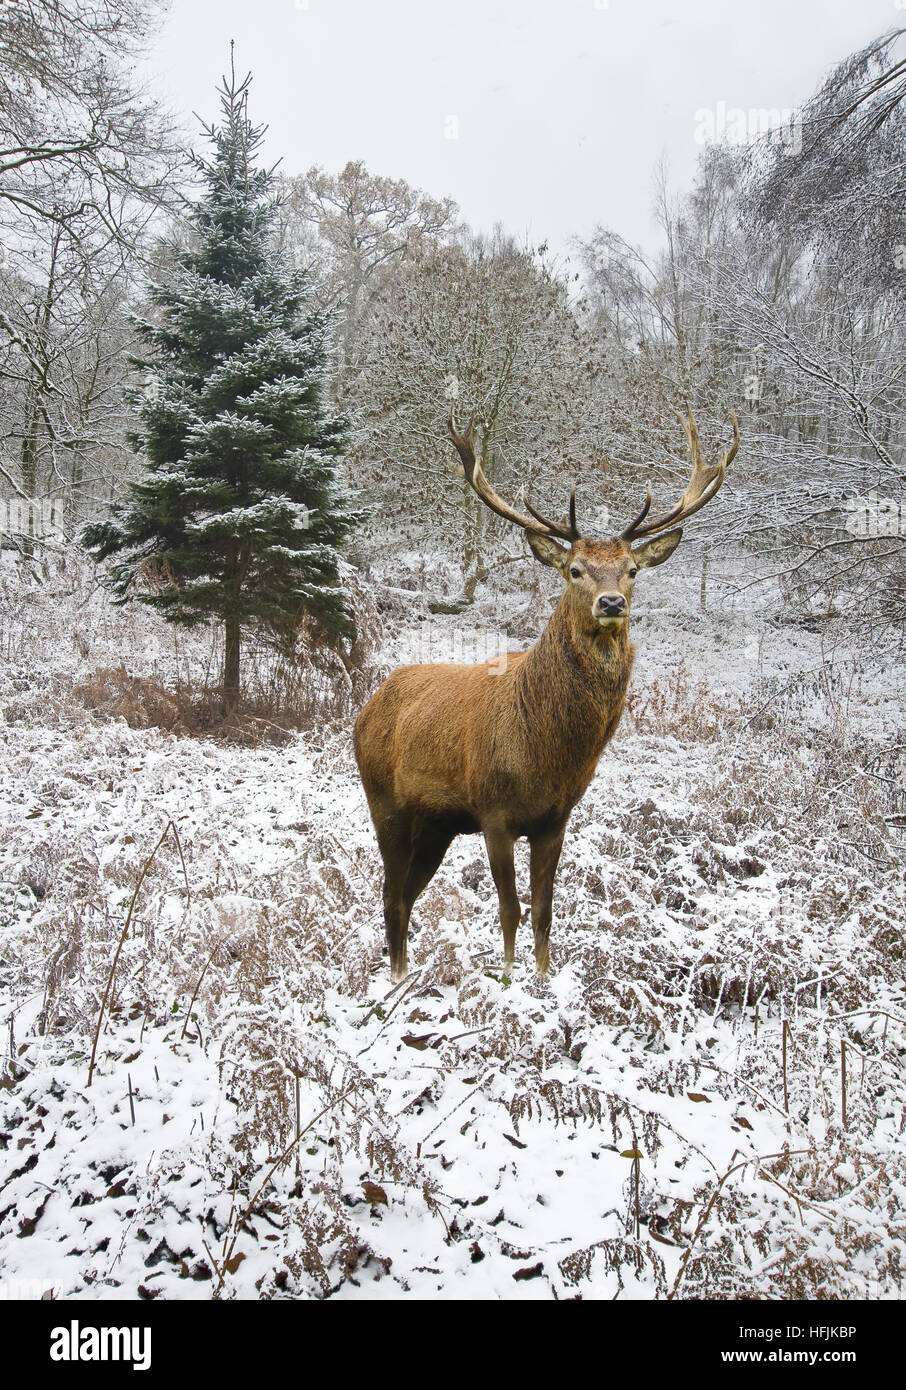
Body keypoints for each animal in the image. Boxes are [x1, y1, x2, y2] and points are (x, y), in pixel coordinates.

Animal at [354, 408, 739, 984]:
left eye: (631, 570)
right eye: (575, 570)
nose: (611, 603)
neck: (547, 752)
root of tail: (366, 708)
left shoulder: (556, 819)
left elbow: (544, 909)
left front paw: (542, 976)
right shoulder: (493, 811)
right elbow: (509, 909)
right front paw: (509, 978)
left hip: (437, 825)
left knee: (405, 894)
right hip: (386, 803)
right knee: (391, 896)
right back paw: (397, 979)